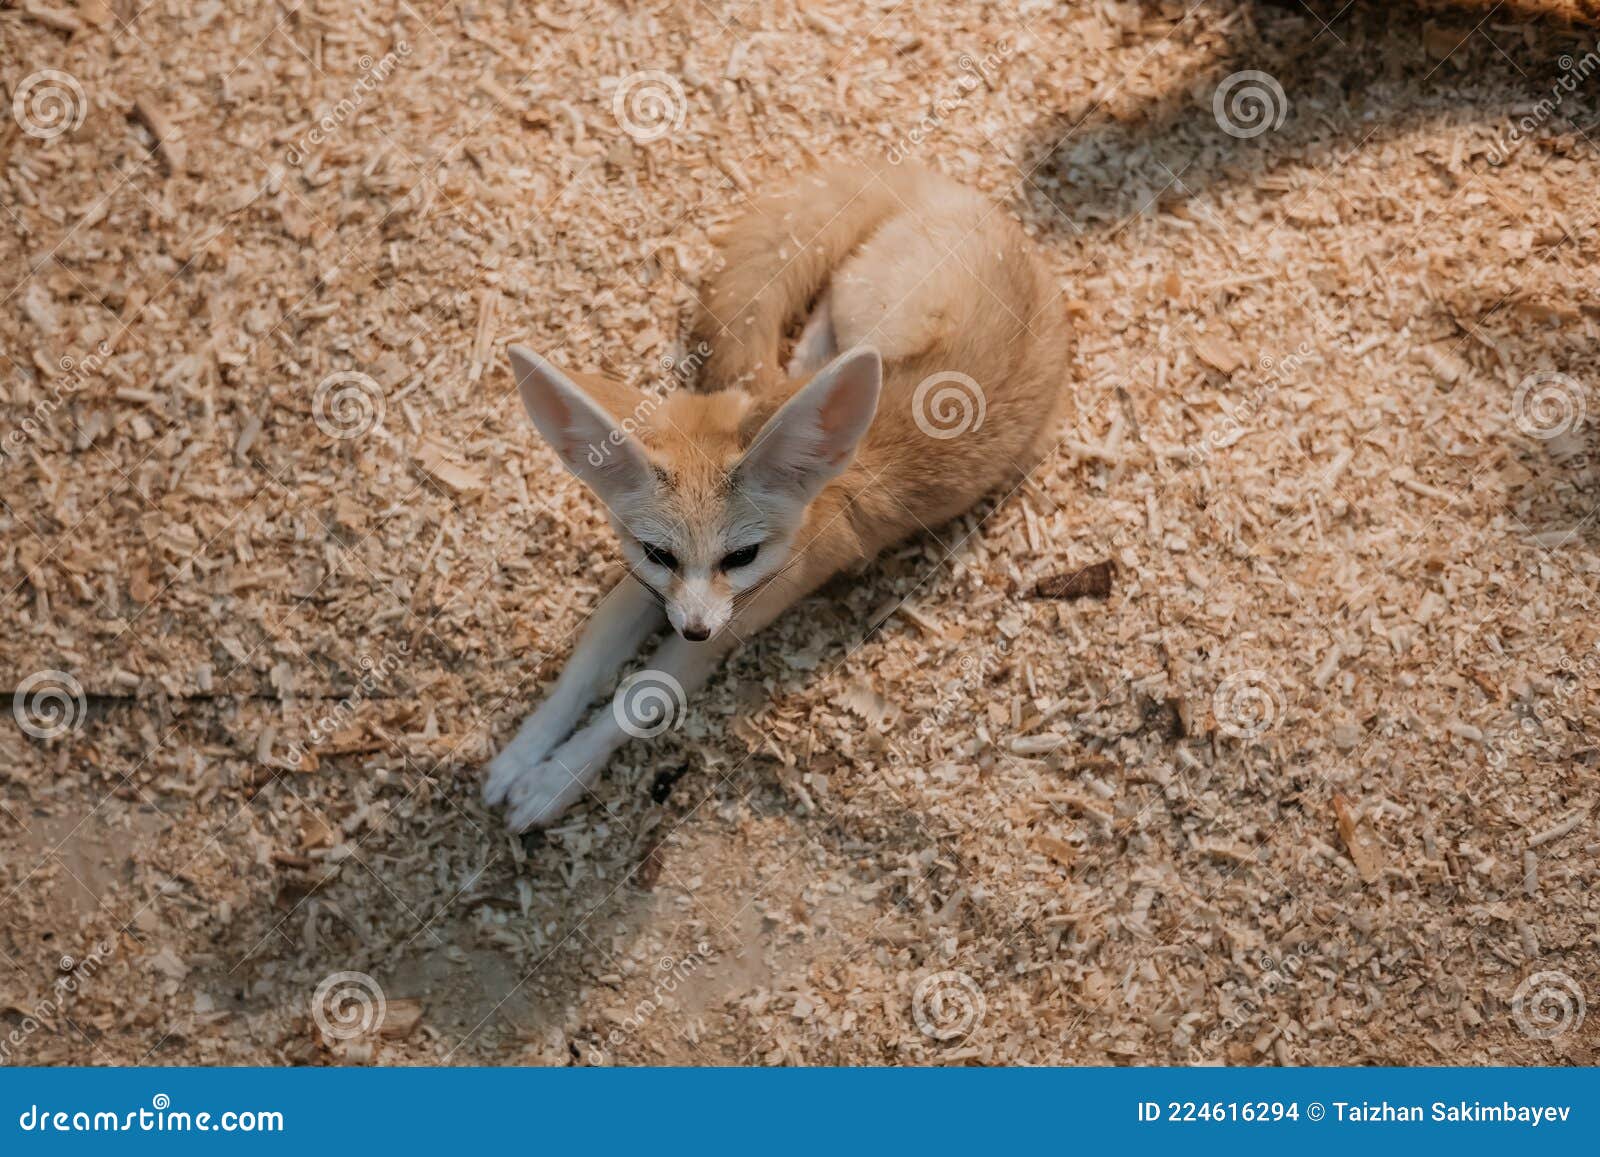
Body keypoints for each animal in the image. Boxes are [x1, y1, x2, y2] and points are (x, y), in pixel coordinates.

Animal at [483, 162, 1073, 832]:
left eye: (742, 557)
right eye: (660, 553)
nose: (692, 628)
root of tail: (959, 192)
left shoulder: (742, 616)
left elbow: (636, 701)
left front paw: (553, 780)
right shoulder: (646, 585)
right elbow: (580, 673)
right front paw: (522, 753)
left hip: (877, 316)